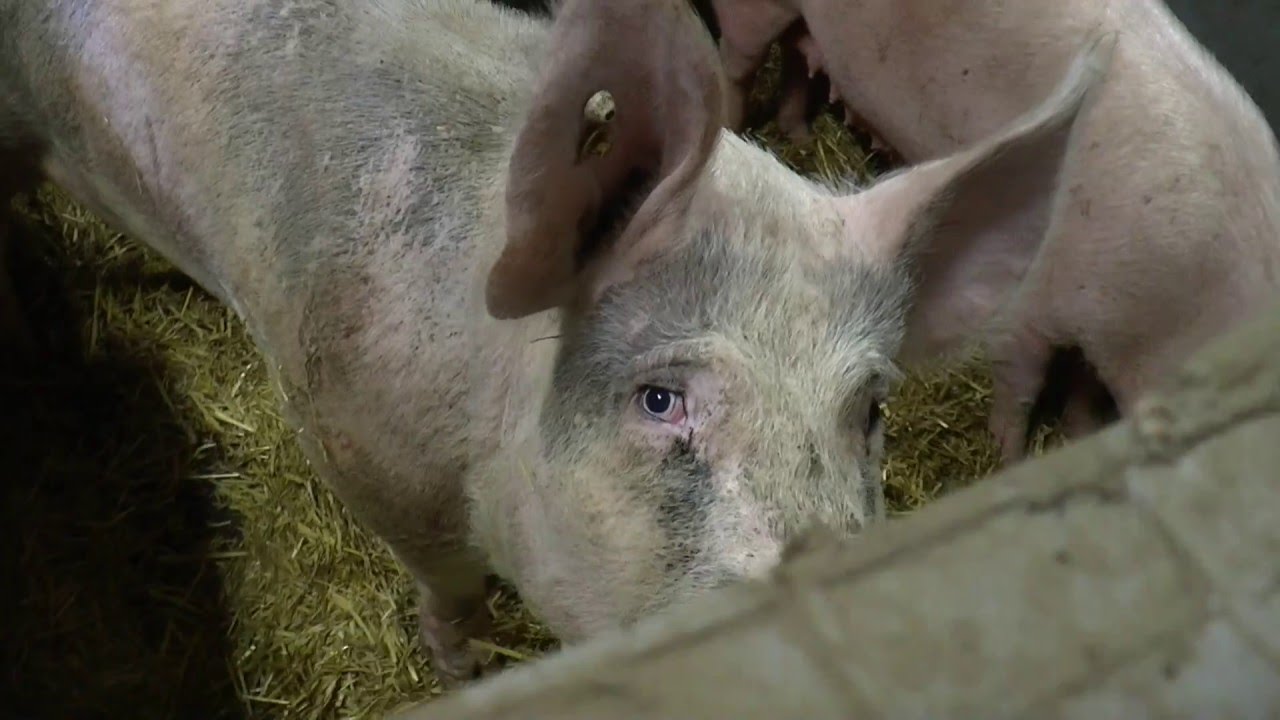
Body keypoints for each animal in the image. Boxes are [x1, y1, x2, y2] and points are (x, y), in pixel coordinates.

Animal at [709, 0, 1280, 462]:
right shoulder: (1032, 298)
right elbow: (1018, 387)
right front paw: (1008, 459)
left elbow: (1082, 393)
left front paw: (1076, 438)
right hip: (751, 10)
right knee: (737, 64)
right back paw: (733, 133)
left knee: (796, 58)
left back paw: (798, 135)